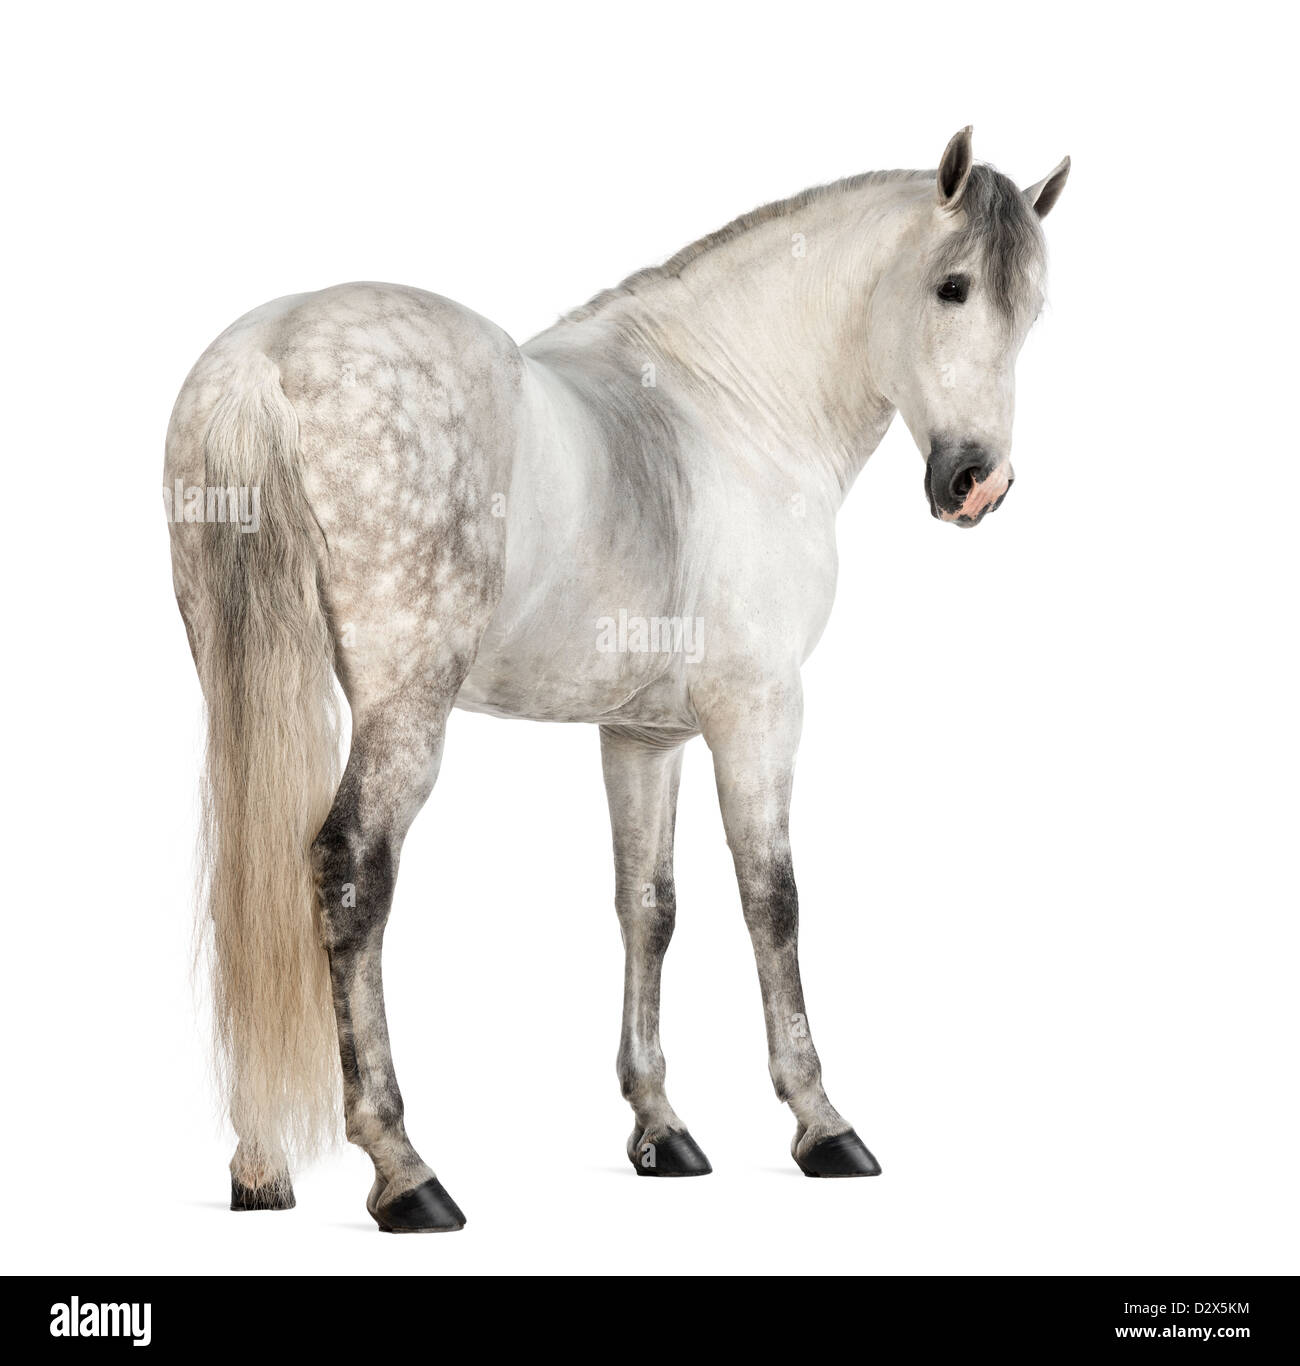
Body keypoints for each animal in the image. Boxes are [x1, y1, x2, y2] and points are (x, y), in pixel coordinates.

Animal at [165, 127, 1069, 1232]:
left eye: (1033, 309)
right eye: (952, 287)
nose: (978, 484)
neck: (729, 406)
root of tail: (266, 354)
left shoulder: (643, 737)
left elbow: (650, 907)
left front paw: (661, 1129)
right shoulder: (759, 711)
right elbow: (773, 898)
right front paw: (821, 1122)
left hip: (240, 685)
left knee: (245, 878)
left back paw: (260, 1169)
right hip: (403, 712)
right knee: (348, 874)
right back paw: (406, 1172)